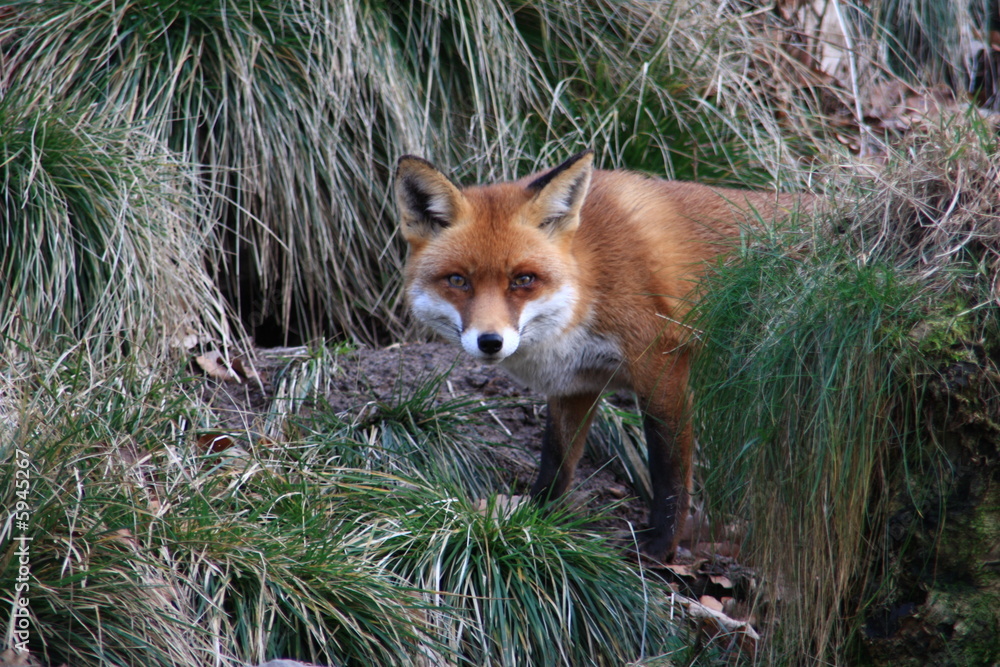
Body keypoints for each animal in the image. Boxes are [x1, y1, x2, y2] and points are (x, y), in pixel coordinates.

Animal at [394, 150, 811, 561]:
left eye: (524, 280)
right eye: (458, 280)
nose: (491, 341)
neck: (588, 286)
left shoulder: (663, 369)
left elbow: (668, 468)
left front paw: (660, 547)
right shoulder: (575, 384)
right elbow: (557, 459)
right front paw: (536, 519)